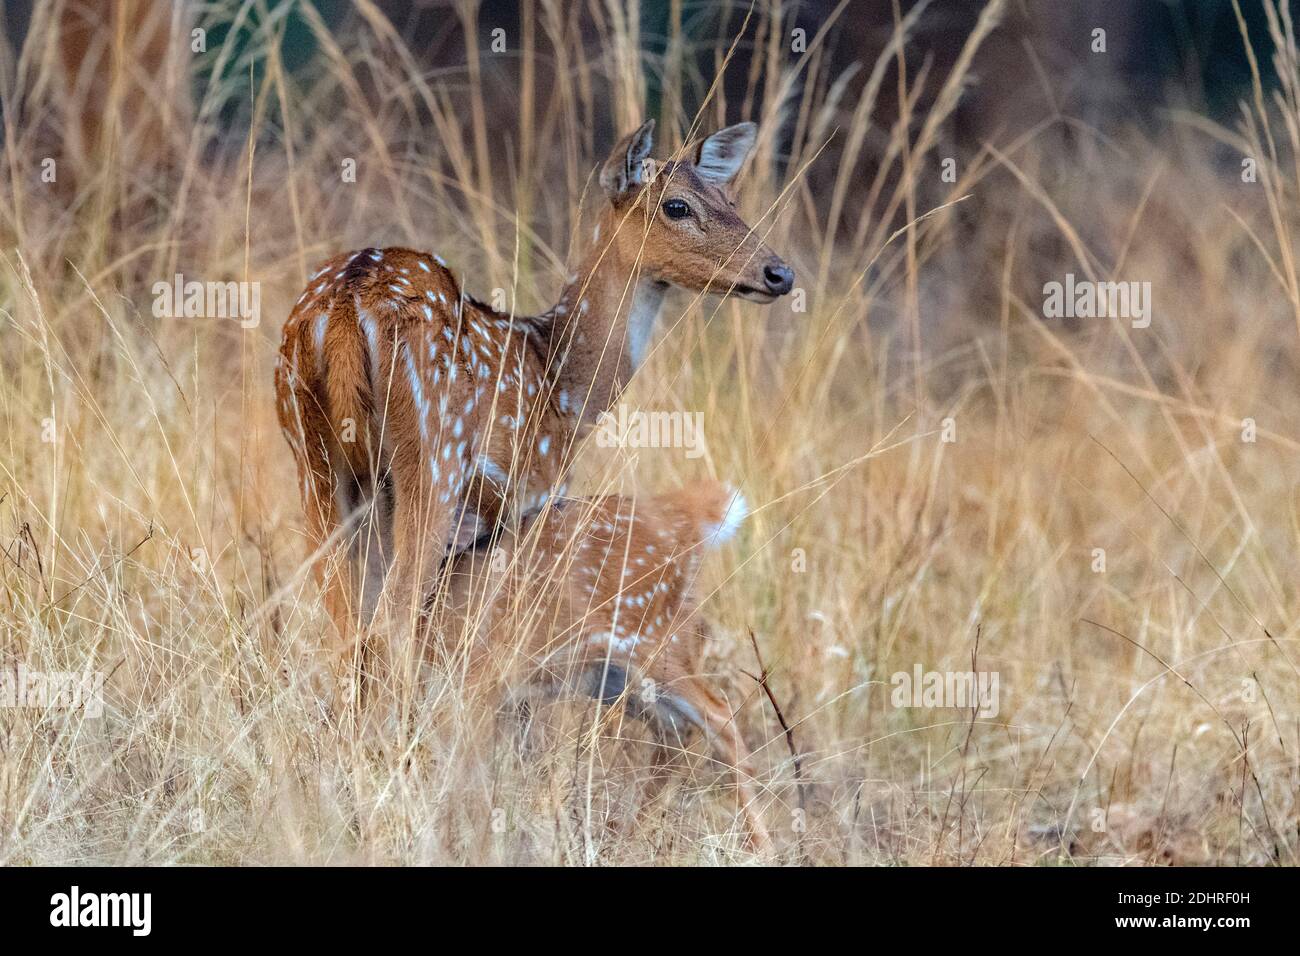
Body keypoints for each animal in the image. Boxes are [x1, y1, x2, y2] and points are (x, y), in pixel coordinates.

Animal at [274, 119, 793, 680]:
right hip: (433, 460)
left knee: (346, 626)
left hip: (313, 461)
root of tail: (348, 300)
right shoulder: (530, 499)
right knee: (392, 617)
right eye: (676, 205)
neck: (564, 387)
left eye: (730, 197)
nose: (779, 273)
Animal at [429, 479, 772, 852]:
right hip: (611, 675)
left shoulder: (471, 687)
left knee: (719, 716)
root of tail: (682, 519)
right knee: (675, 729)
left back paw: (761, 847)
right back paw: (628, 838)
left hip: (652, 642)